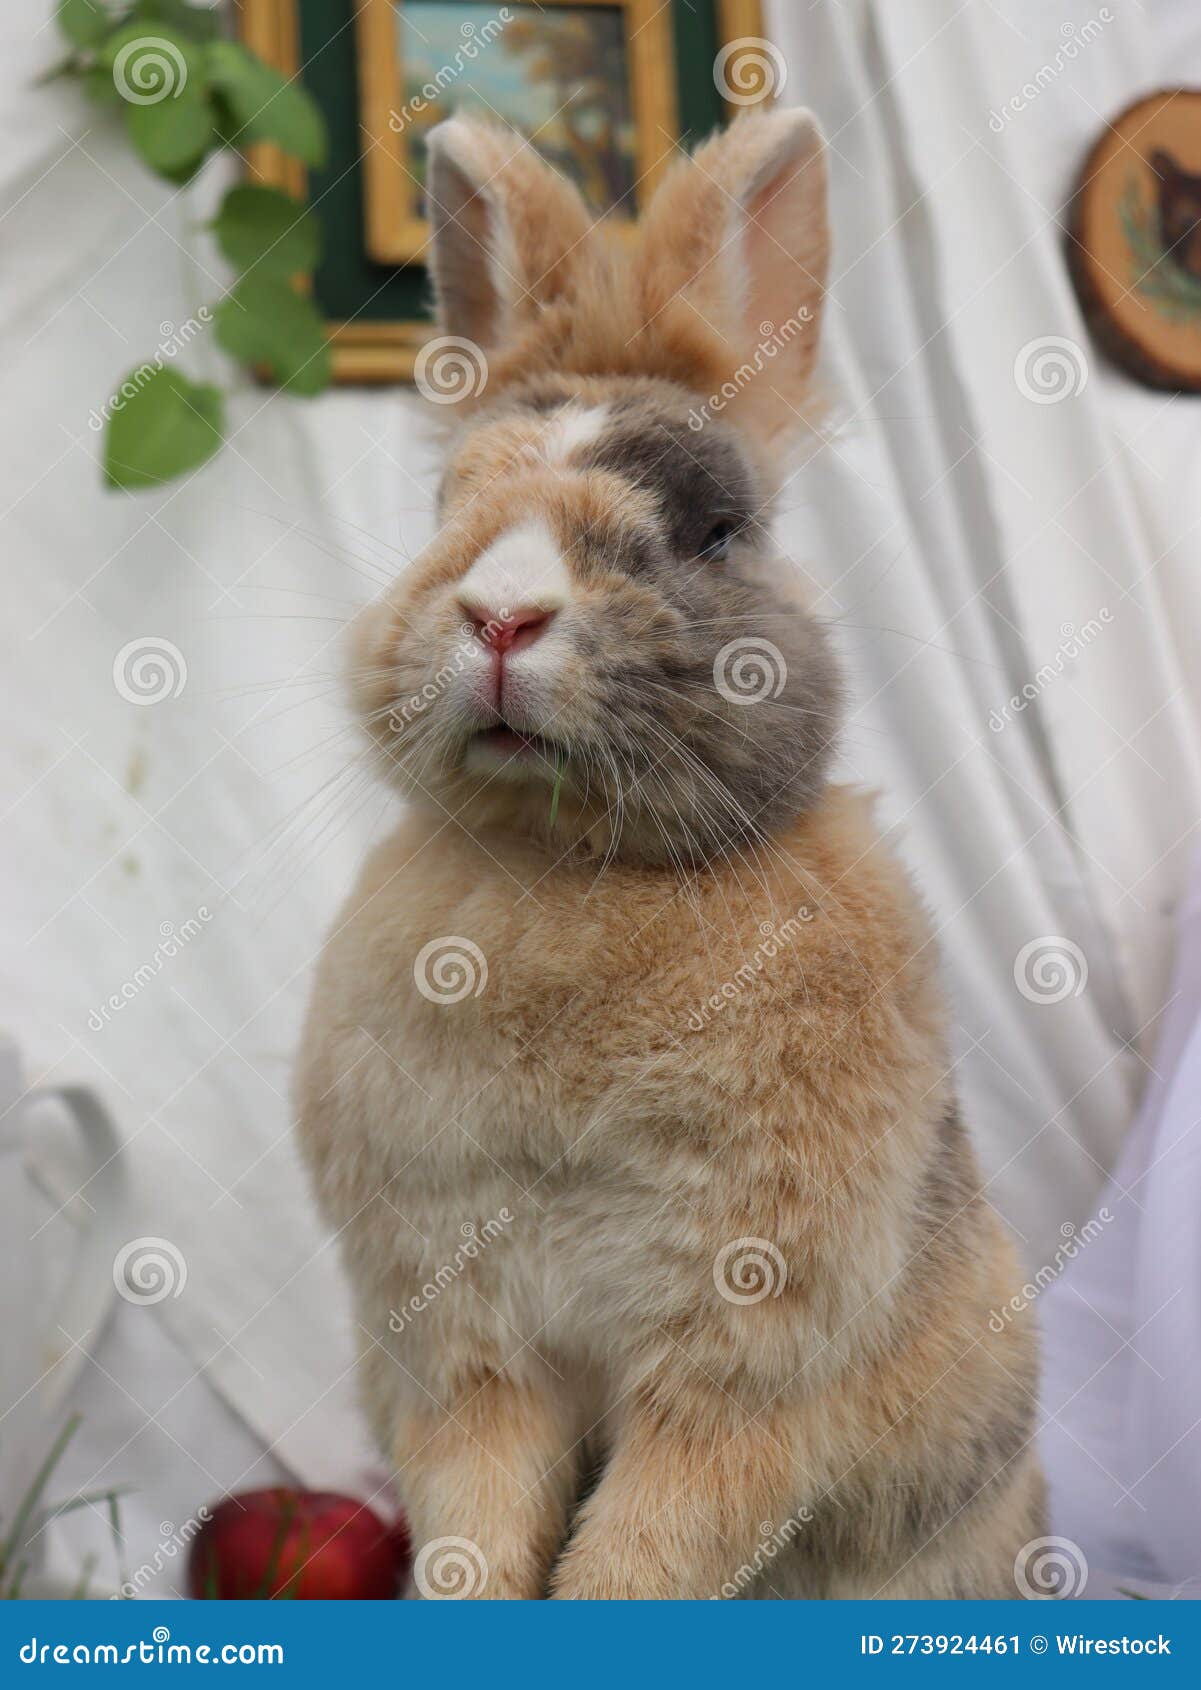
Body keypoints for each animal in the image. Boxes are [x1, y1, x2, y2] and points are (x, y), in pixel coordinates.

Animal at [295, 108, 1045, 1600]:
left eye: (713, 527)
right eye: (445, 504)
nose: (501, 615)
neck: (573, 870)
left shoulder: (737, 1375)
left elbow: (644, 1553)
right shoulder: (467, 1355)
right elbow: (473, 1530)